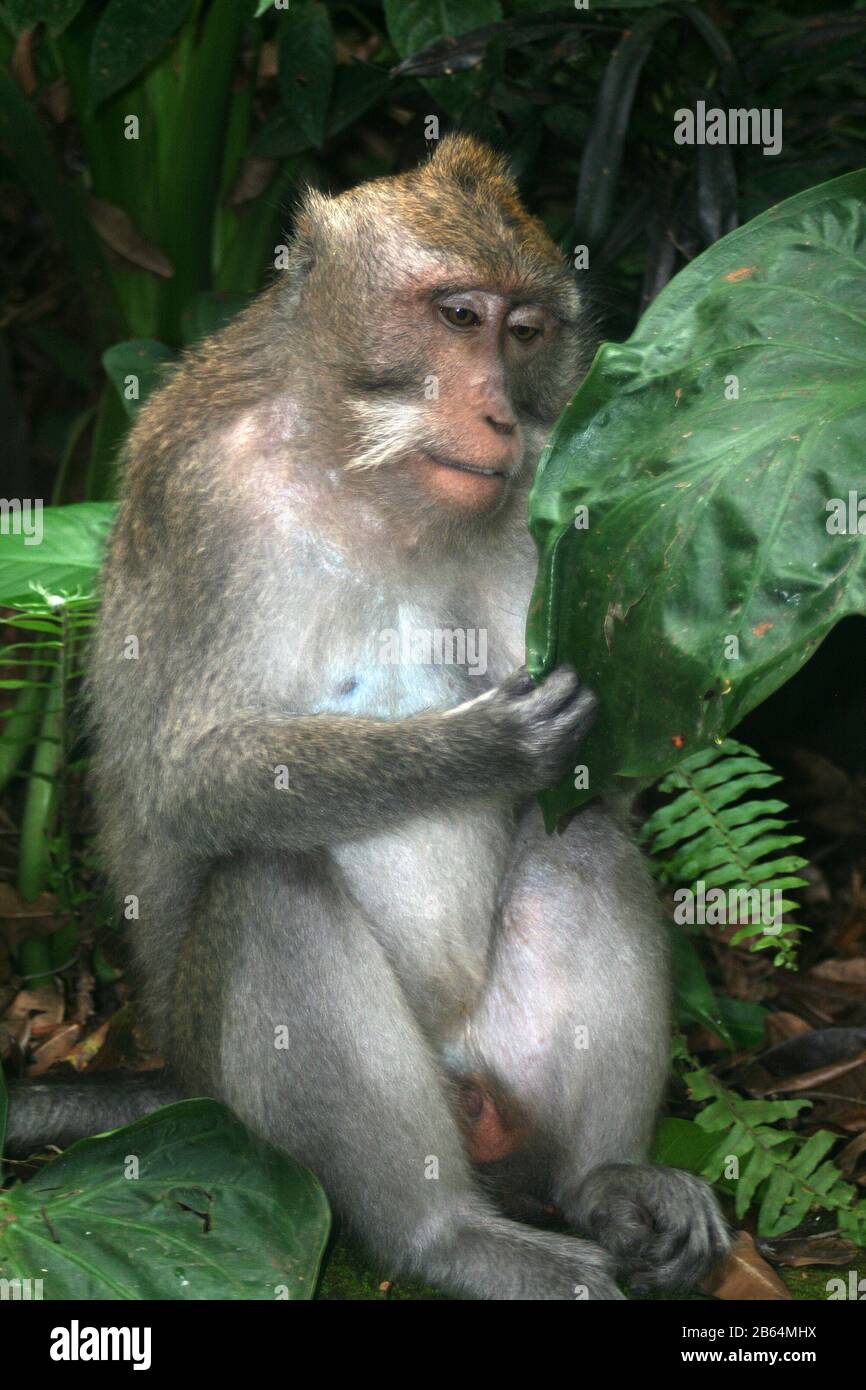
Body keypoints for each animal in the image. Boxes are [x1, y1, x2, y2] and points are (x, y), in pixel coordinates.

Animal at [7, 135, 729, 1299]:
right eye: (456, 316)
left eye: (524, 332)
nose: (496, 412)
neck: (366, 477)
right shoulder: (204, 500)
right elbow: (179, 781)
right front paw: (475, 746)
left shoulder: (548, 479)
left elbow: (604, 788)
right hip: (244, 1092)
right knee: (272, 880)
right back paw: (447, 1238)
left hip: (495, 1060)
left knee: (583, 844)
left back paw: (602, 1185)